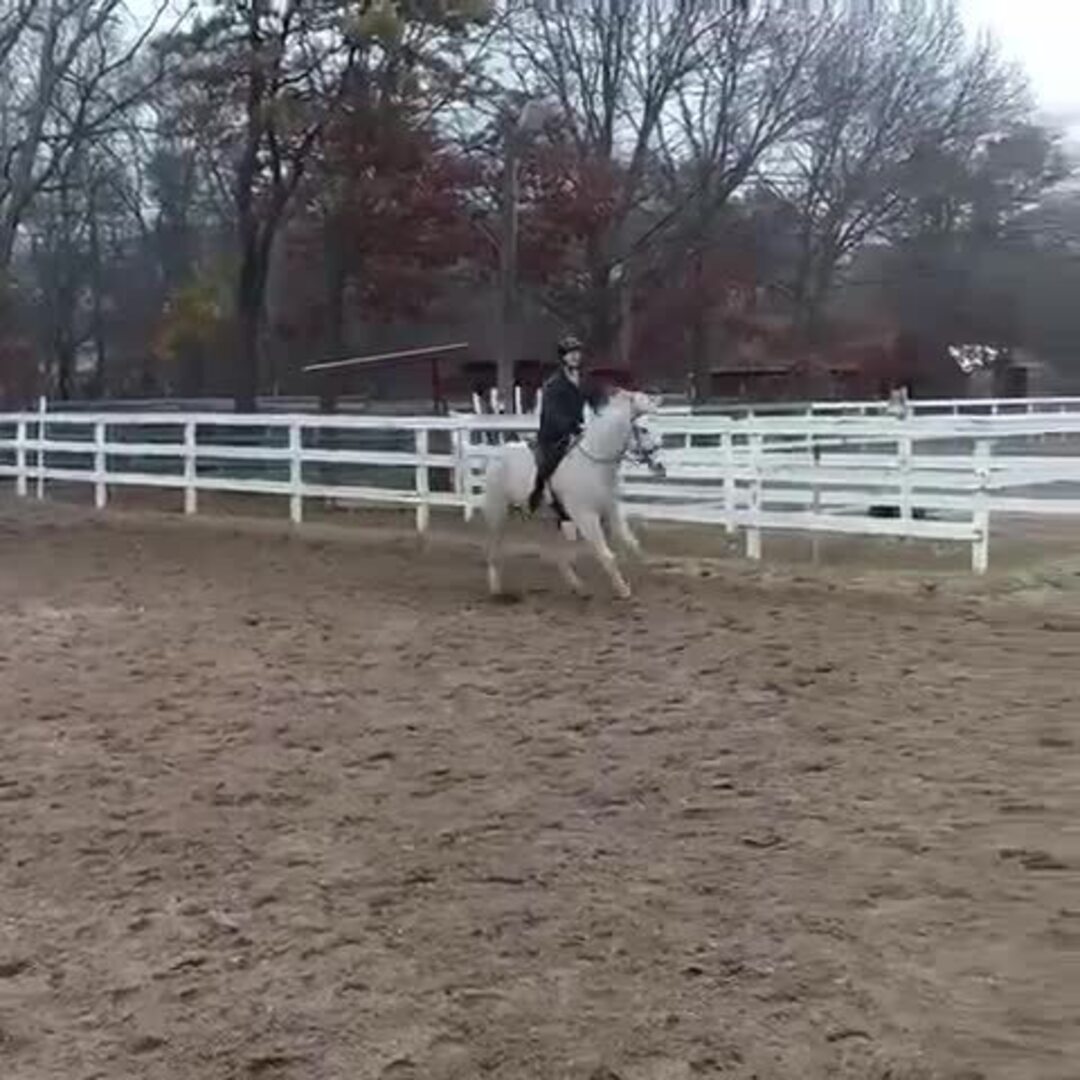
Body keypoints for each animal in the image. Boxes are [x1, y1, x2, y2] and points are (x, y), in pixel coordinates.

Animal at [481, 388, 665, 600]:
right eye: (643, 429)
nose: (660, 466)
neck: (594, 464)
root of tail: (498, 453)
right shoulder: (586, 517)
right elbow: (606, 554)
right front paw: (623, 590)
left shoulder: (612, 510)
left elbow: (632, 542)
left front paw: (651, 571)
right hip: (499, 511)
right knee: (494, 546)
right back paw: (496, 588)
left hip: (545, 517)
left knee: (554, 552)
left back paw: (578, 586)